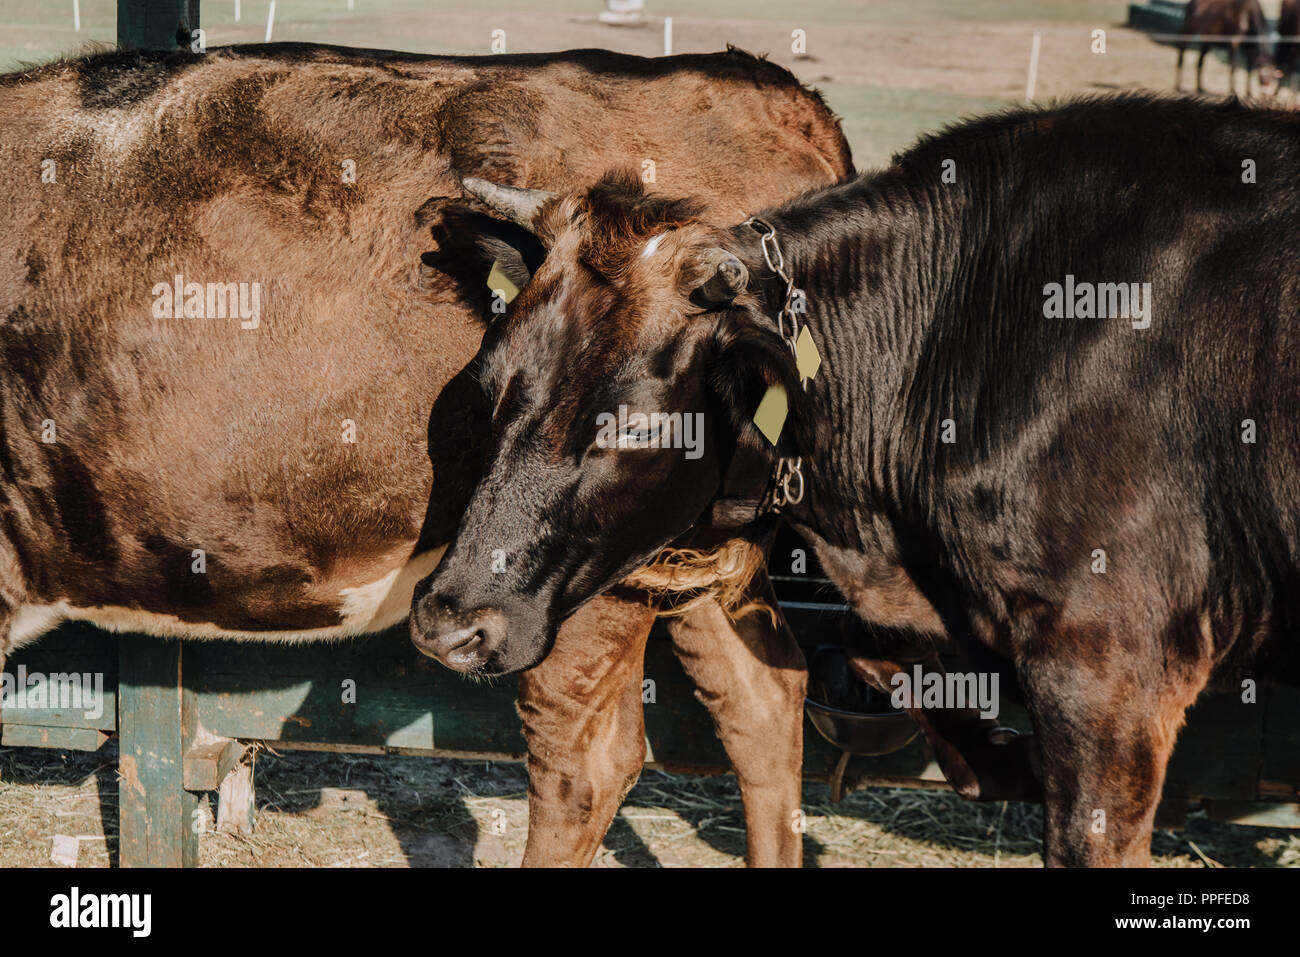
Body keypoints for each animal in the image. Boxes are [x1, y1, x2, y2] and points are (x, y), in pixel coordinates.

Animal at [412, 93, 1300, 866]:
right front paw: (996, 750)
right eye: (491, 384)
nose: (448, 623)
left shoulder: (1110, 670)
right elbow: (891, 677)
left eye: (633, 426)